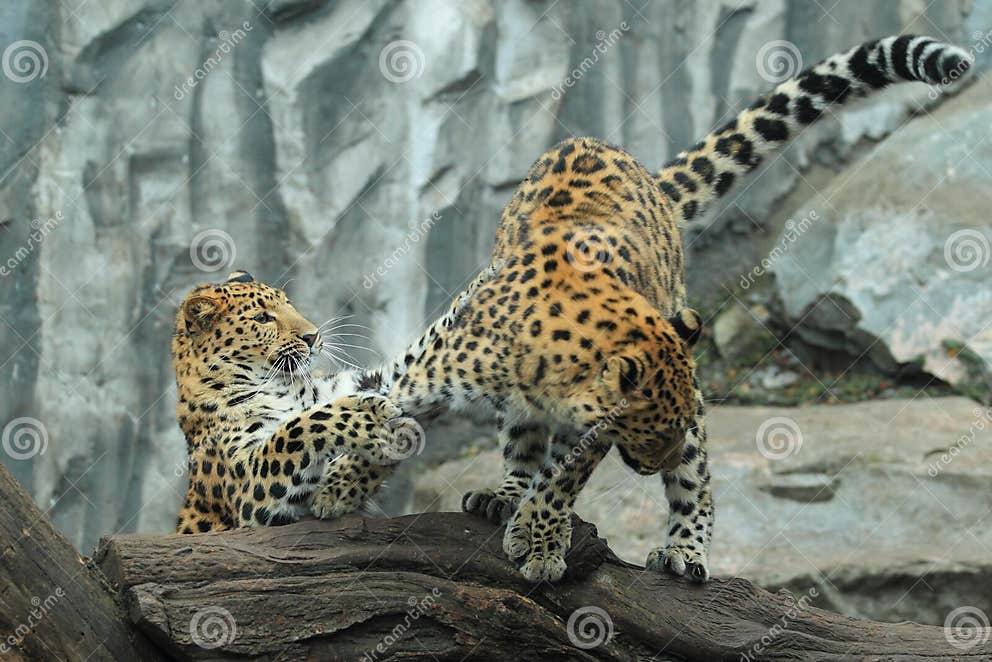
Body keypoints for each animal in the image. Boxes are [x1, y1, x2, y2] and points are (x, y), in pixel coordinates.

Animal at [173, 265, 502, 533]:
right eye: (263, 318)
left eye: (288, 304)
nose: (313, 336)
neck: (283, 384)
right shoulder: (248, 489)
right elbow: (297, 428)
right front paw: (367, 418)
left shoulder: (362, 385)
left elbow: (413, 357)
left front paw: (483, 283)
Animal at [312, 35, 971, 583]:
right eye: (653, 430)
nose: (665, 458)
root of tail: (639, 168)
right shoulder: (432, 373)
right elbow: (387, 417)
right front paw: (340, 487)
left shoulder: (594, 429)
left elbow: (565, 477)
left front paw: (542, 541)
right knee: (521, 442)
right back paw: (504, 494)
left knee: (694, 486)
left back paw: (682, 549)